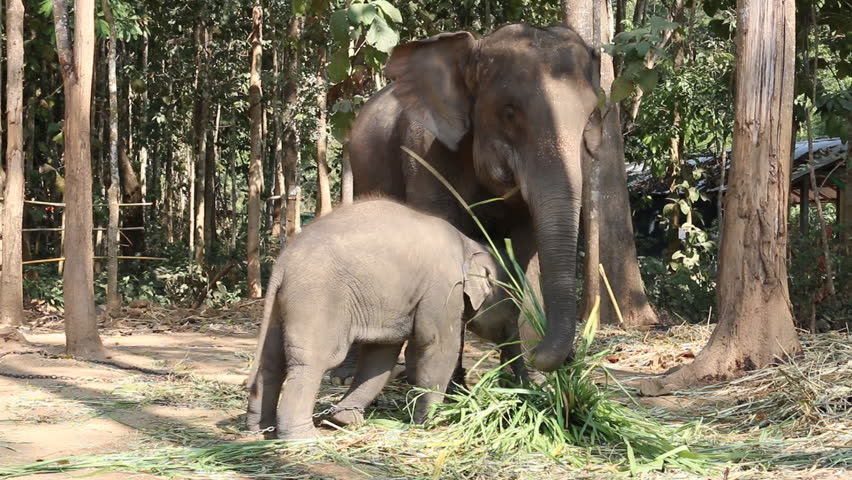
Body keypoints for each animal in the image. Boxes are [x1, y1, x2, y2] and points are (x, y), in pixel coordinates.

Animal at [245, 199, 525, 439]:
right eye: (515, 308)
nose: (520, 396)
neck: (469, 244)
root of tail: (283, 262)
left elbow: (381, 356)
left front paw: (344, 420)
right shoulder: (443, 287)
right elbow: (438, 345)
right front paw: (432, 423)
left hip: (281, 305)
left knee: (272, 360)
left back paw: (261, 430)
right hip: (317, 297)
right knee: (313, 360)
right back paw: (303, 438)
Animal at [330, 23, 602, 384]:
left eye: (591, 115)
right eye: (510, 112)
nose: (569, 360)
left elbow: (523, 255)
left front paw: (521, 384)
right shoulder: (423, 153)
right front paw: (453, 387)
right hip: (362, 170)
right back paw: (345, 376)